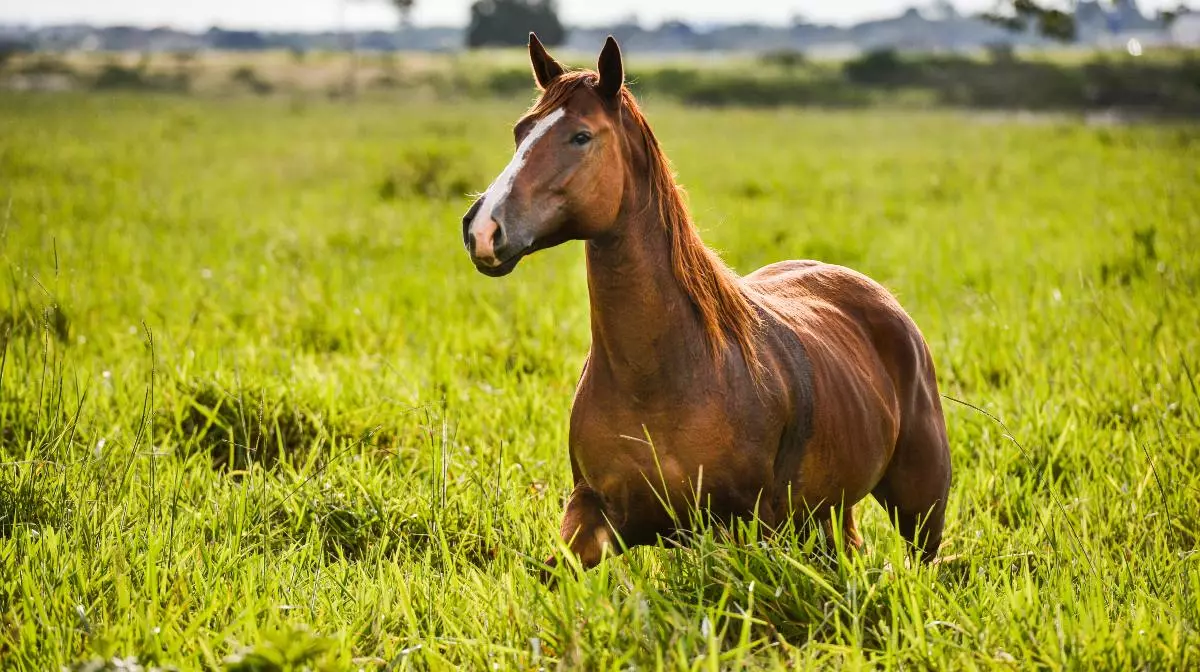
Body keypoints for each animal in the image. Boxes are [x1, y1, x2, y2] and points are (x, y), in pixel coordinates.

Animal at [458, 34, 955, 576]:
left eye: (581, 137)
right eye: (521, 131)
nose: (483, 229)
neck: (661, 375)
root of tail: (882, 300)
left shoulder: (747, 524)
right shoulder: (593, 513)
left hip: (919, 508)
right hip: (827, 511)